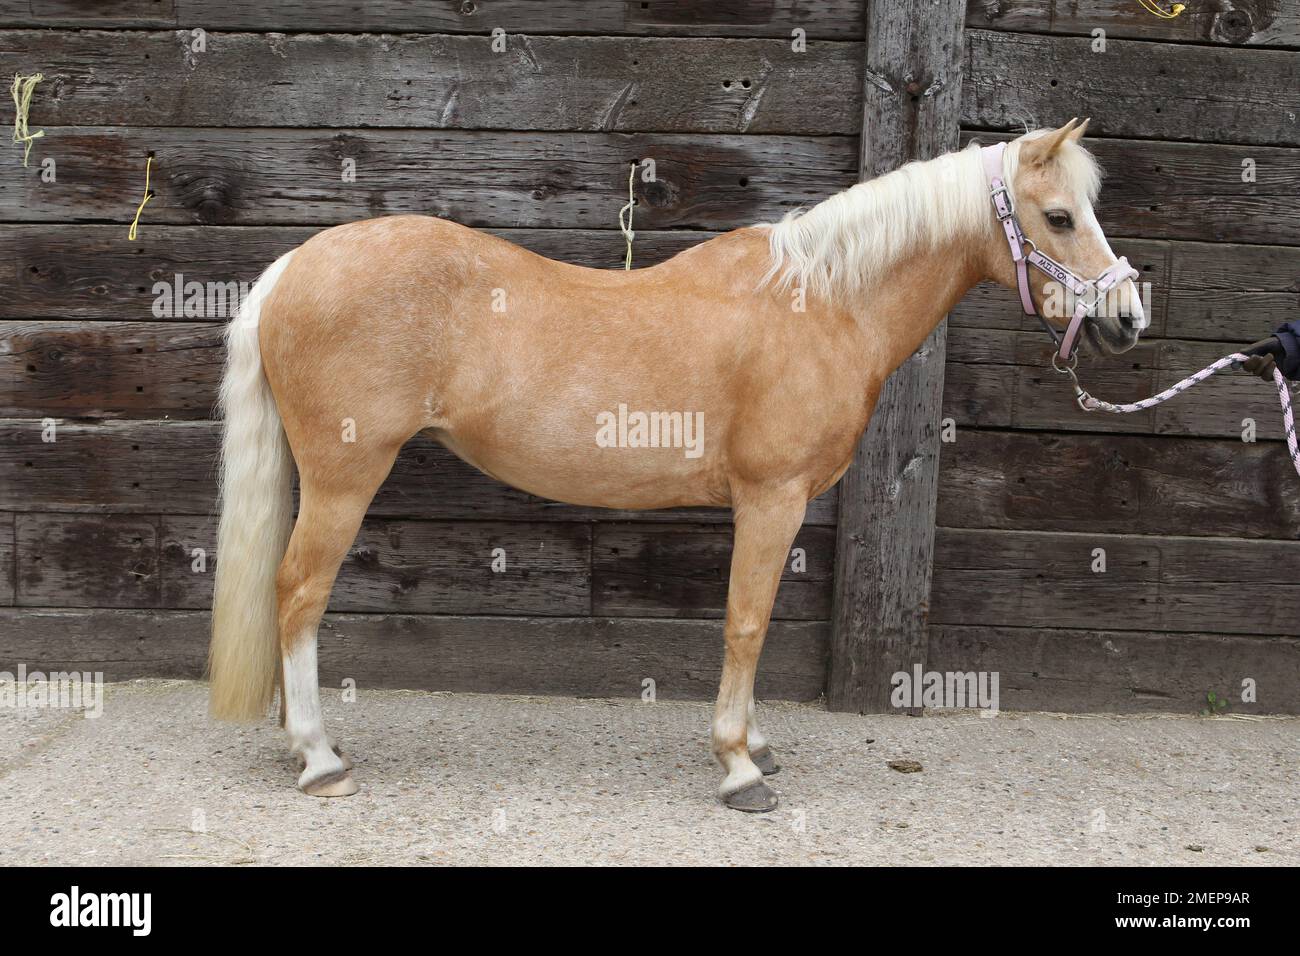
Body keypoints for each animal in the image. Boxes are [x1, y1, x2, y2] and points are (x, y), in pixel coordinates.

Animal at [207, 119, 1146, 812]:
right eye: (1059, 218)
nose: (1128, 318)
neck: (822, 301)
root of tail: (291, 267)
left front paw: (756, 746)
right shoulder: (770, 499)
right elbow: (747, 623)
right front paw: (738, 767)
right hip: (345, 478)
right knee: (298, 593)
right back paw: (318, 757)